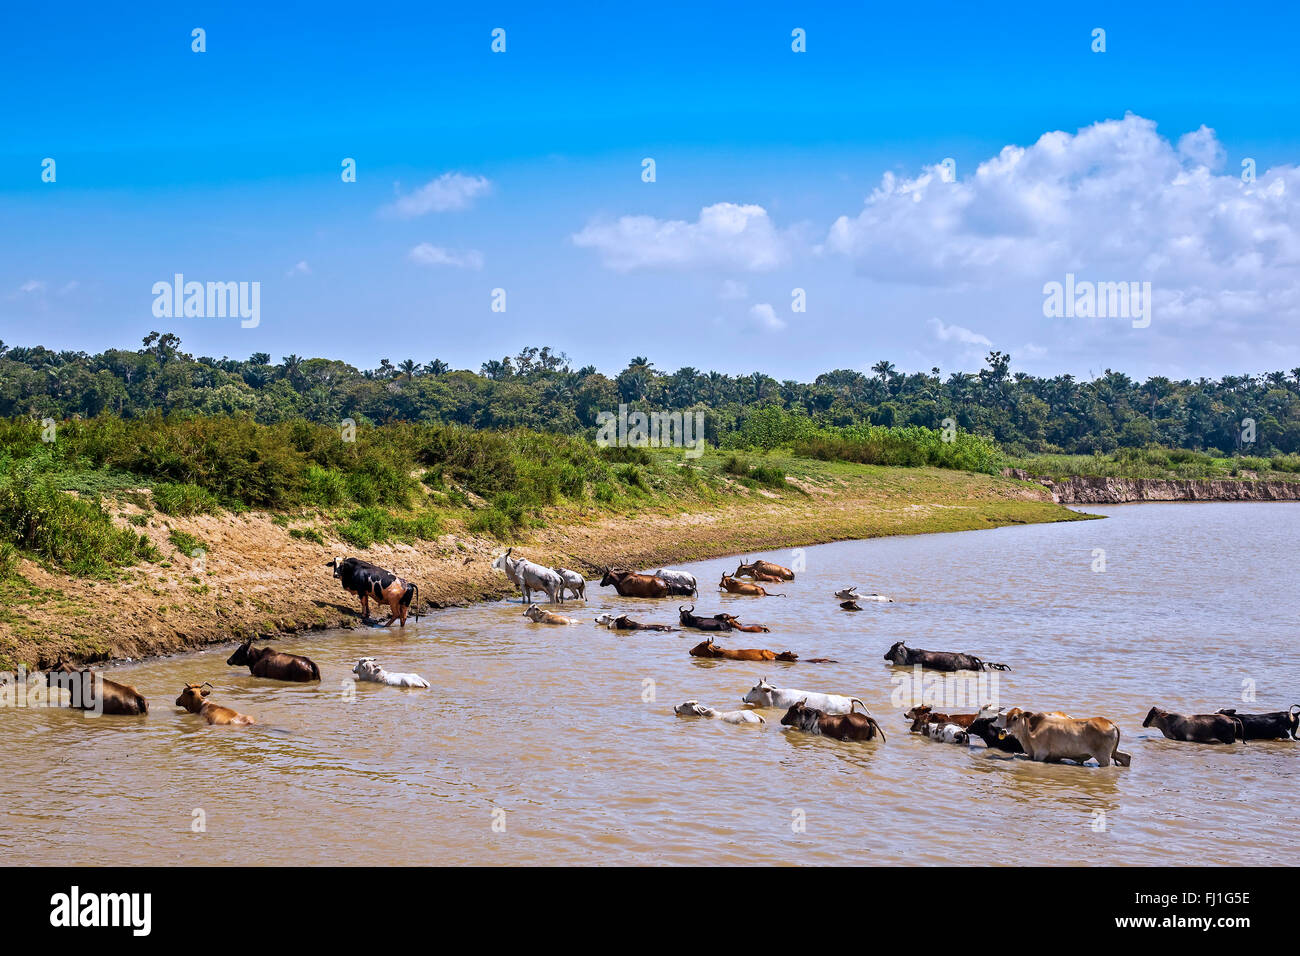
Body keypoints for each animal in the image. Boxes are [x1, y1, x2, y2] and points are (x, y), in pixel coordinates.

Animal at [993, 709, 1131, 766]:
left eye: (1015, 718)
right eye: (1006, 718)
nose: (1003, 730)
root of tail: (1110, 722)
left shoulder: (1040, 754)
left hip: (1104, 757)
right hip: (1112, 753)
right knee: (1126, 757)